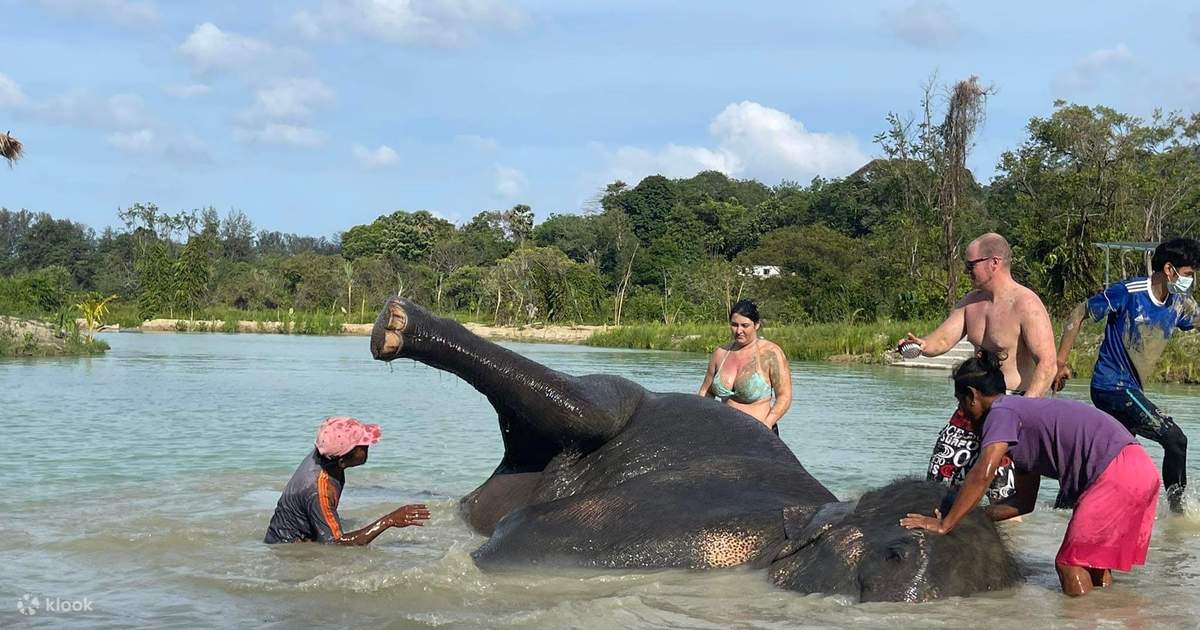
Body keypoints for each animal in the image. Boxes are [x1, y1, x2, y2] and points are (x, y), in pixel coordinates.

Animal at [370, 298, 1021, 602]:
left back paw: (396, 326)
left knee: (585, 408)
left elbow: (513, 542)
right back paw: (392, 329)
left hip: (604, 406)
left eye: (895, 556)